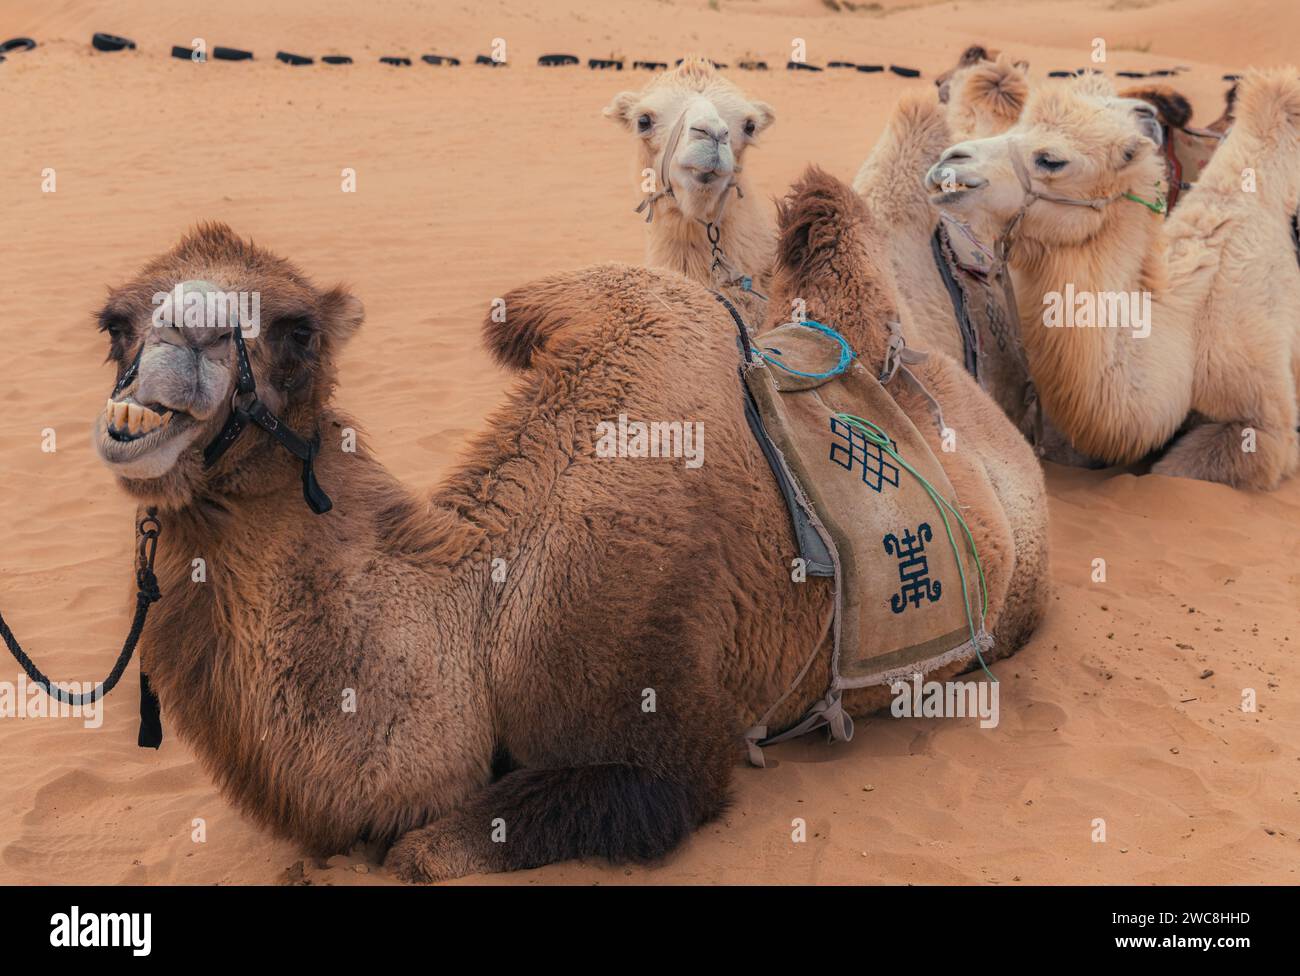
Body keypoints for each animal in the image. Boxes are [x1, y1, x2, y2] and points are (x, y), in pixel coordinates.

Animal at [89, 216, 1046, 882]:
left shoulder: (663, 747)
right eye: (115, 323)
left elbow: (421, 854)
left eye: (295, 330)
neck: (484, 610)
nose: (170, 370)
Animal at [925, 69, 1300, 489]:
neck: (1189, 329)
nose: (948, 161)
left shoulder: (1267, 427)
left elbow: (1176, 468)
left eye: (1051, 160)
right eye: (1013, 126)